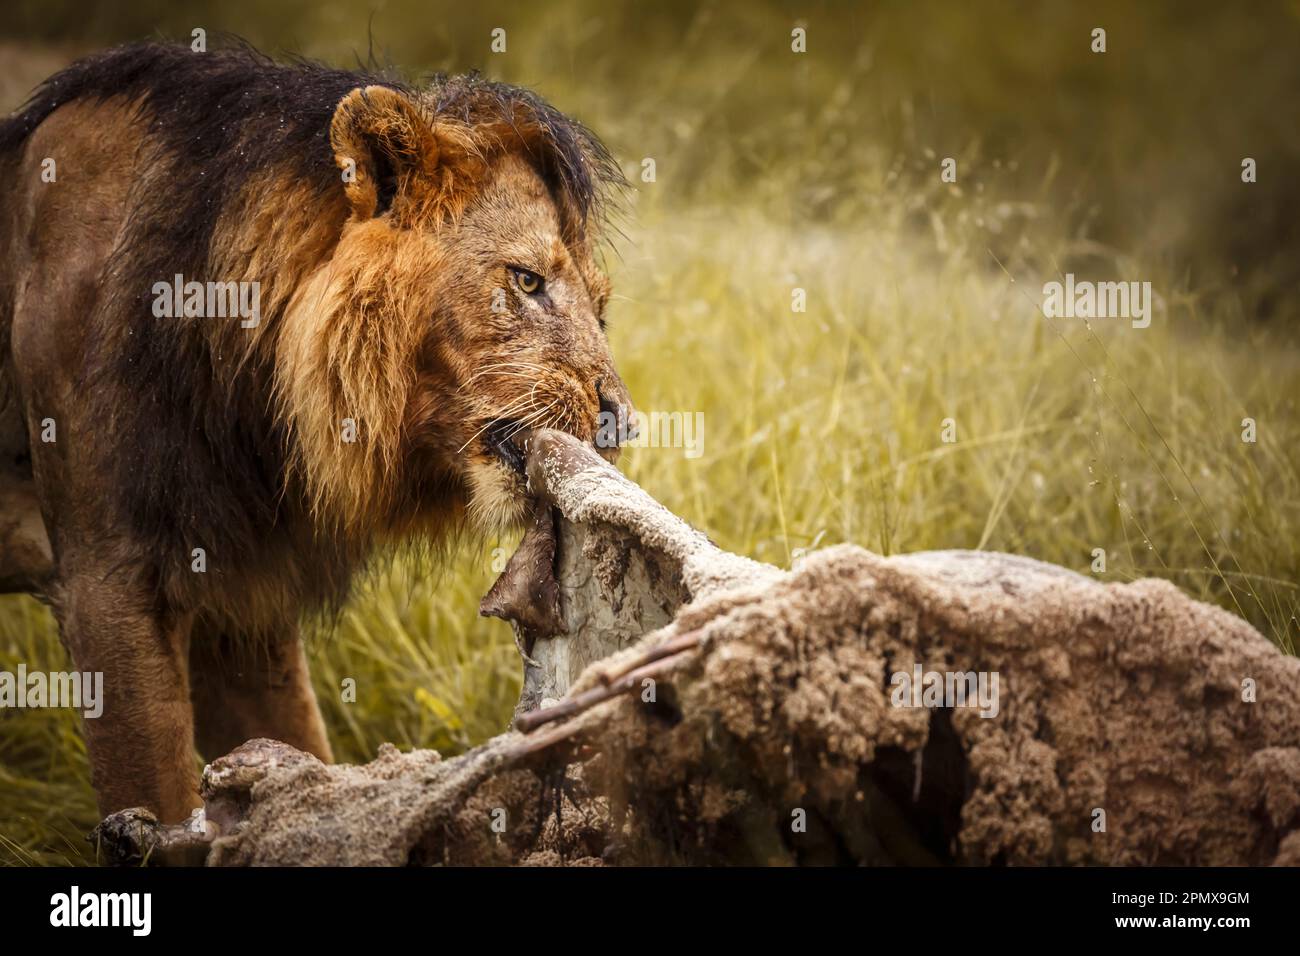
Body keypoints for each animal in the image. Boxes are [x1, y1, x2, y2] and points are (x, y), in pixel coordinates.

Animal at [0, 42, 633, 823]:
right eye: (526, 280)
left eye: (600, 310)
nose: (621, 419)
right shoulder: (104, 579)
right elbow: (156, 795)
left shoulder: (240, 595)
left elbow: (291, 752)